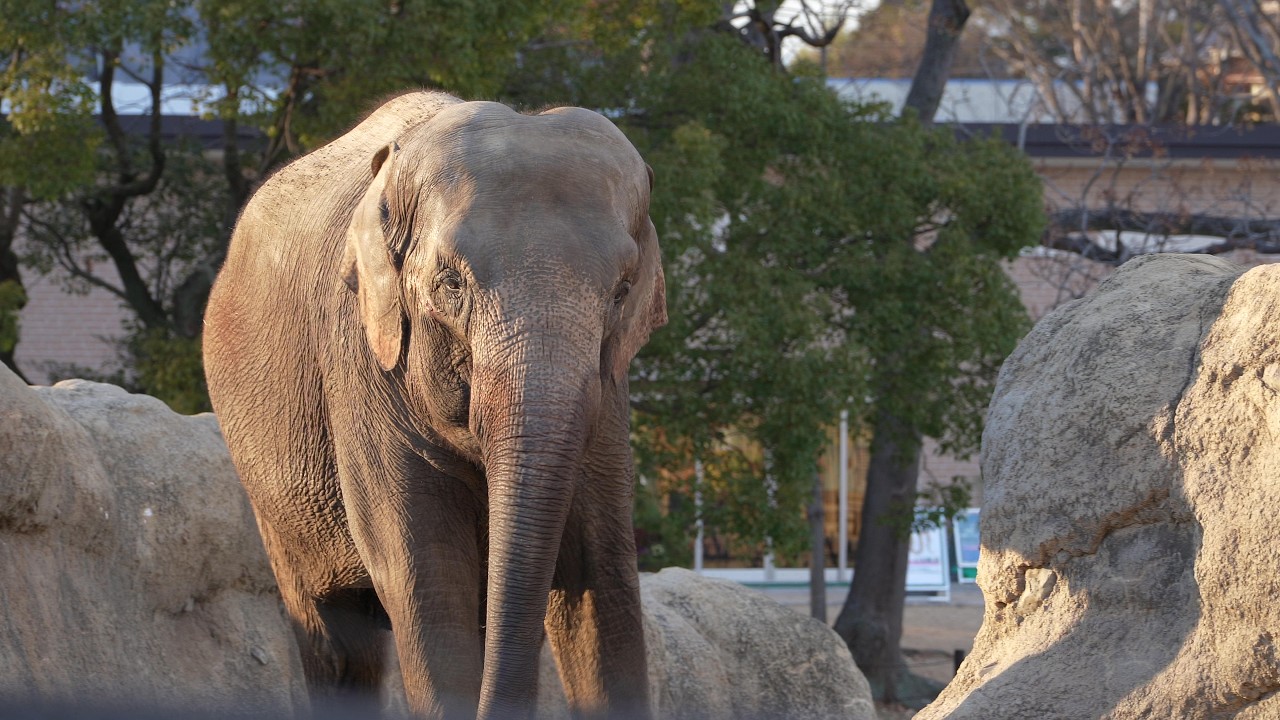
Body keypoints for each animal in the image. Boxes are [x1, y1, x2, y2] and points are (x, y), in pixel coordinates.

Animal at [202, 91, 666, 720]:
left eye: (621, 292)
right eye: (450, 284)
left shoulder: (608, 390)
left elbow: (599, 576)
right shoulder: (362, 365)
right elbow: (429, 576)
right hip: (269, 493)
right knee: (334, 640)